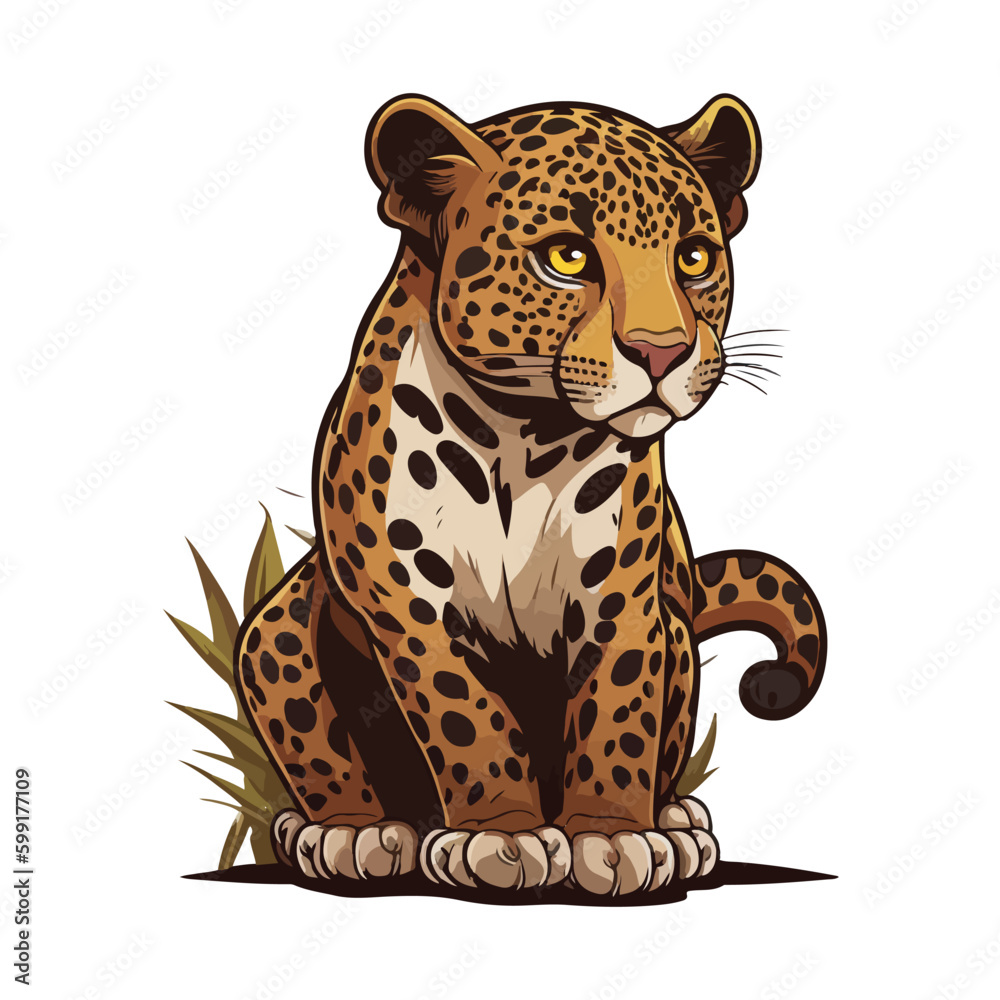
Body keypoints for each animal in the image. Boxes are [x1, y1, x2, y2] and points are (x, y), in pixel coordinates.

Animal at [233, 93, 828, 898]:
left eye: (695, 257)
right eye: (567, 258)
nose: (664, 351)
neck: (526, 439)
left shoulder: (624, 602)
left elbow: (618, 717)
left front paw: (614, 837)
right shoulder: (411, 607)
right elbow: (468, 718)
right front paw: (504, 837)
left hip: (674, 626)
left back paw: (677, 821)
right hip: (273, 629)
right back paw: (350, 832)